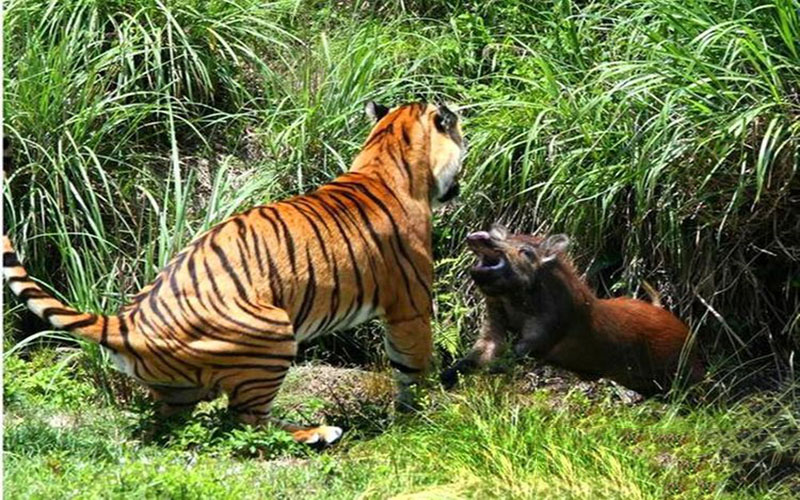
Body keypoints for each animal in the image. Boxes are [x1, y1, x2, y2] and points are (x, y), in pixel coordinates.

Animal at [2, 101, 466, 445]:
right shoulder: (410, 304)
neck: (388, 156)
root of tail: (127, 322)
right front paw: (423, 412)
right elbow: (412, 365)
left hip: (182, 385)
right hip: (275, 333)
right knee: (246, 420)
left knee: (174, 420)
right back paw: (318, 433)